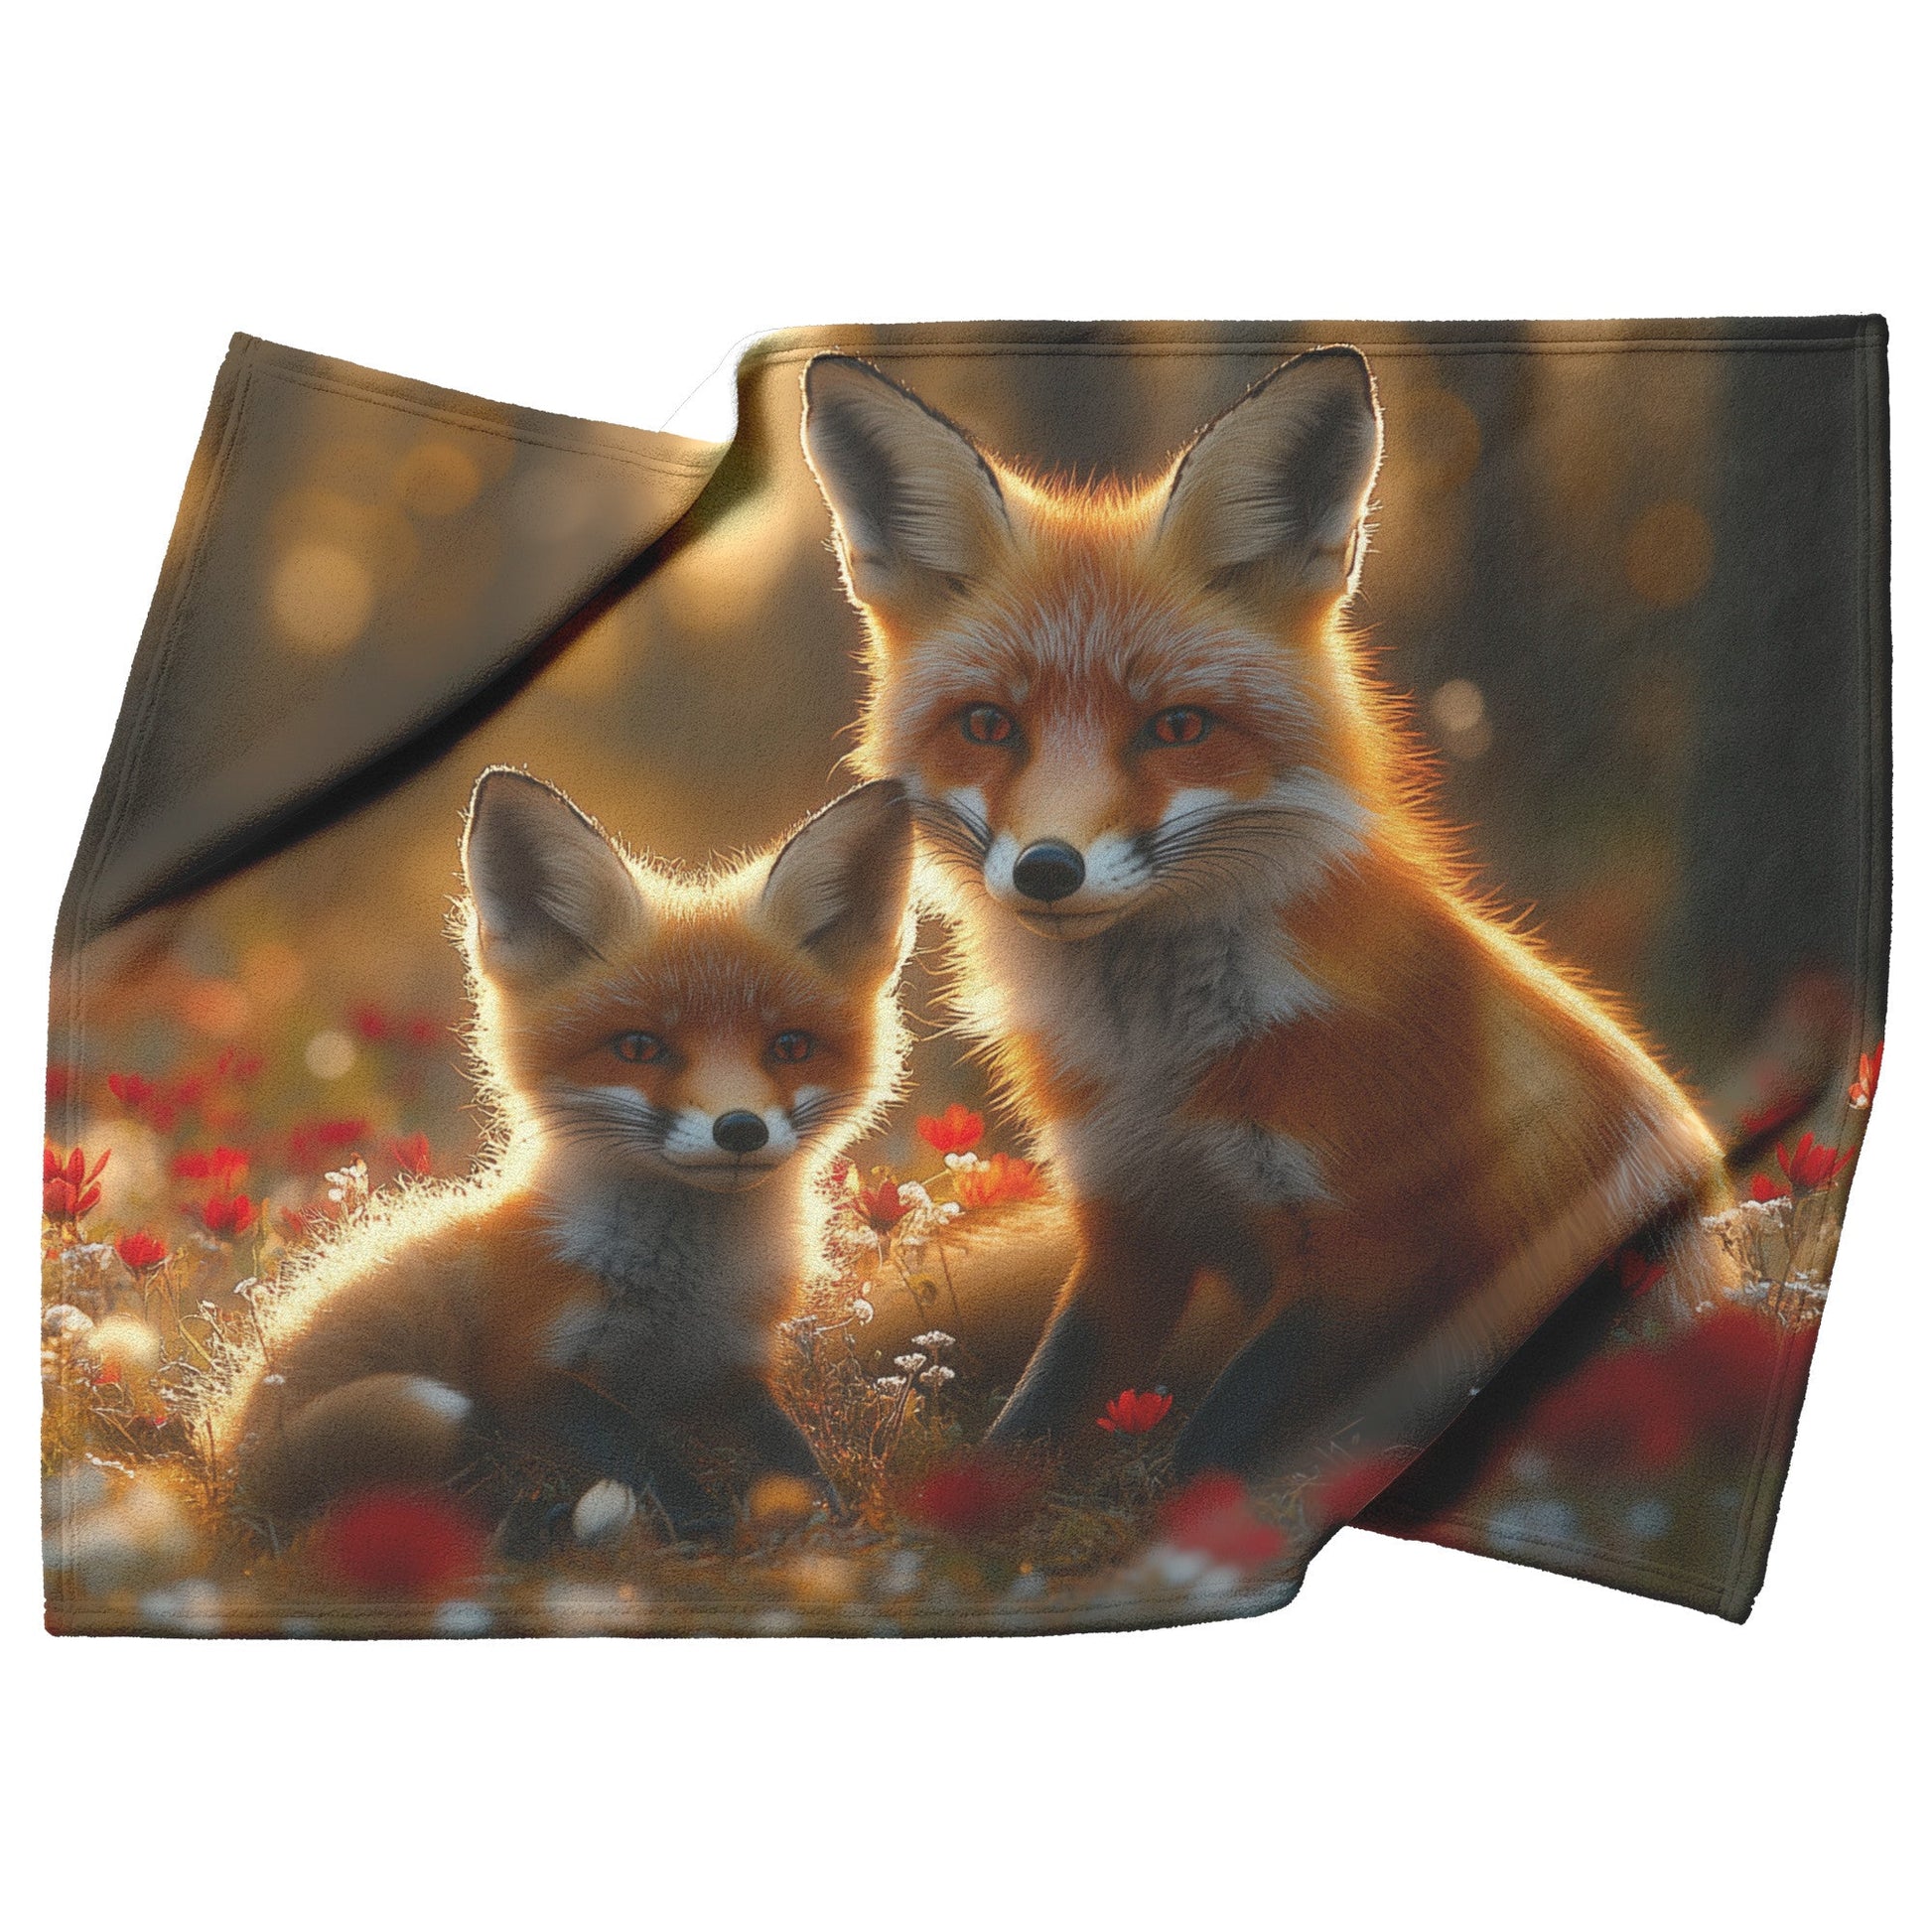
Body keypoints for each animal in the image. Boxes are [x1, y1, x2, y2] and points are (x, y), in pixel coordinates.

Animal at [211, 768, 914, 1535]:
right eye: (638, 1047)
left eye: (789, 1046)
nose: (740, 1129)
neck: (680, 1295)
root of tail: (231, 1451)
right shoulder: (528, 1372)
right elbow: (646, 1457)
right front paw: (708, 1527)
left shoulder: (730, 1366)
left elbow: (793, 1457)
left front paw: (828, 1521)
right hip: (422, 1414)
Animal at [800, 346, 1731, 1489]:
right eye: (987, 725)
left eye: (1177, 728)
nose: (1048, 870)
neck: (1157, 1061)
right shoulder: (1127, 1224)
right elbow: (1041, 1408)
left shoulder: (1374, 1253)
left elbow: (1211, 1449)